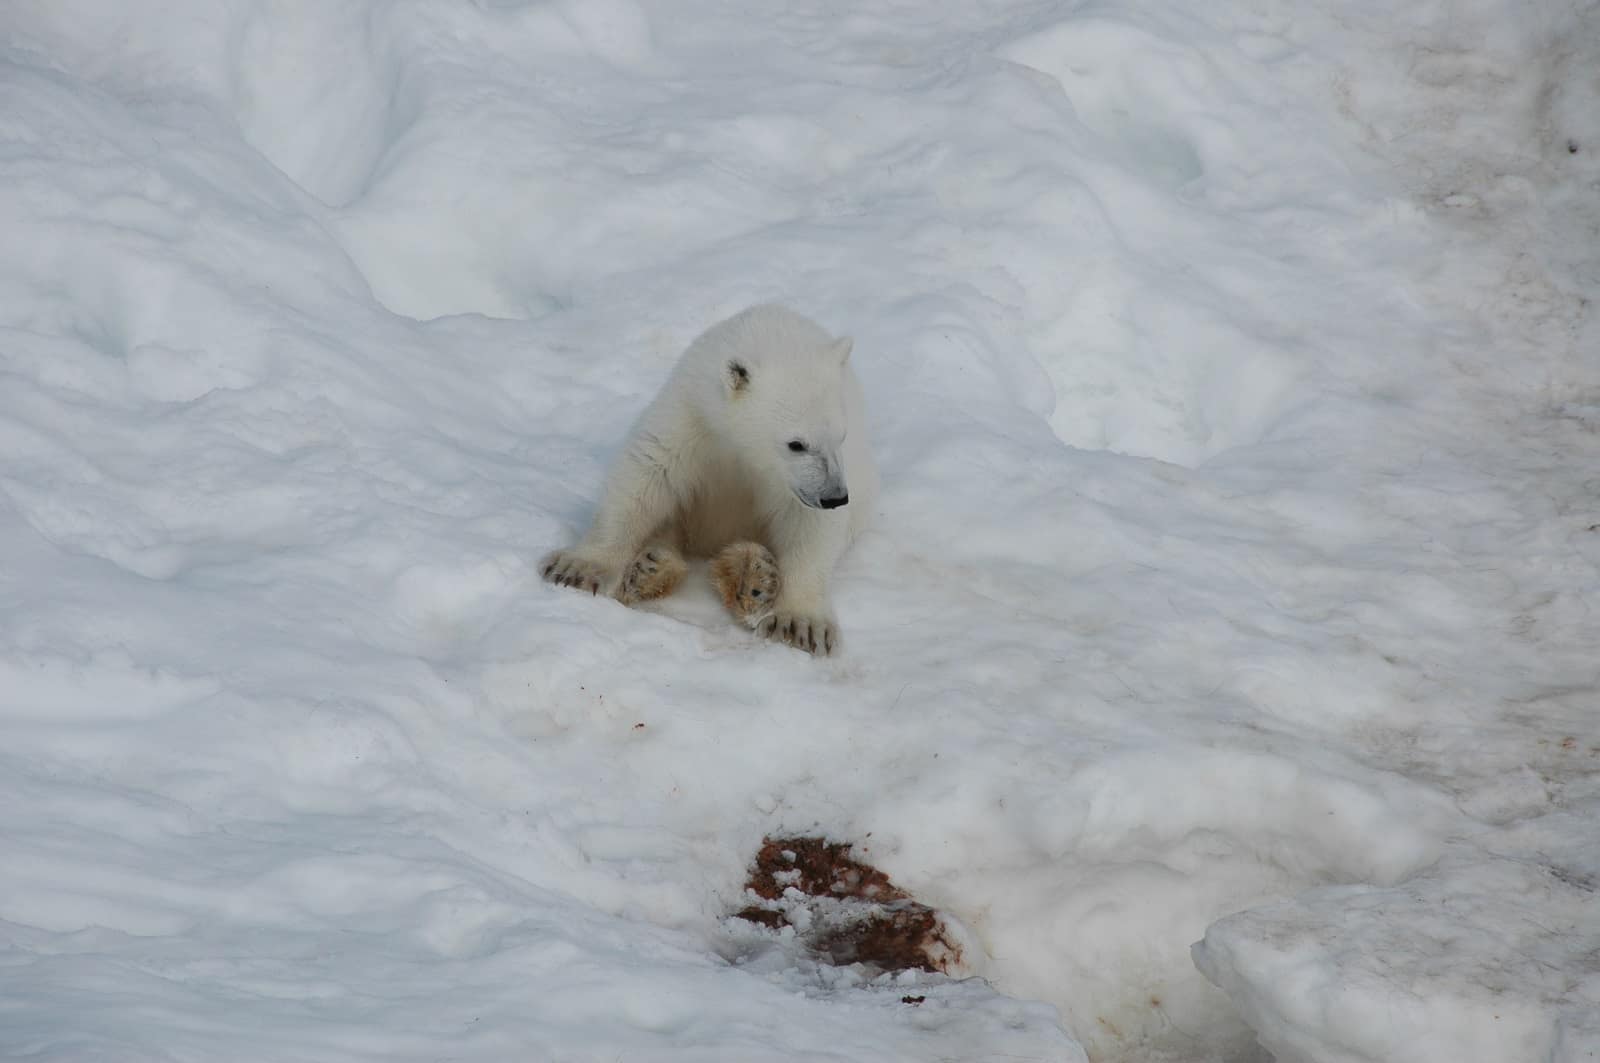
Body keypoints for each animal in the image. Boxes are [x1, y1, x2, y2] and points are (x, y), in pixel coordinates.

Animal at [541, 303, 877, 655]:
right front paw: (578, 568)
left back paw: (754, 575)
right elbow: (646, 475)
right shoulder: (690, 416)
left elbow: (809, 525)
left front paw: (800, 624)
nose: (835, 497)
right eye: (796, 443)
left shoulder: (805, 480)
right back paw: (652, 568)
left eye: (841, 436)